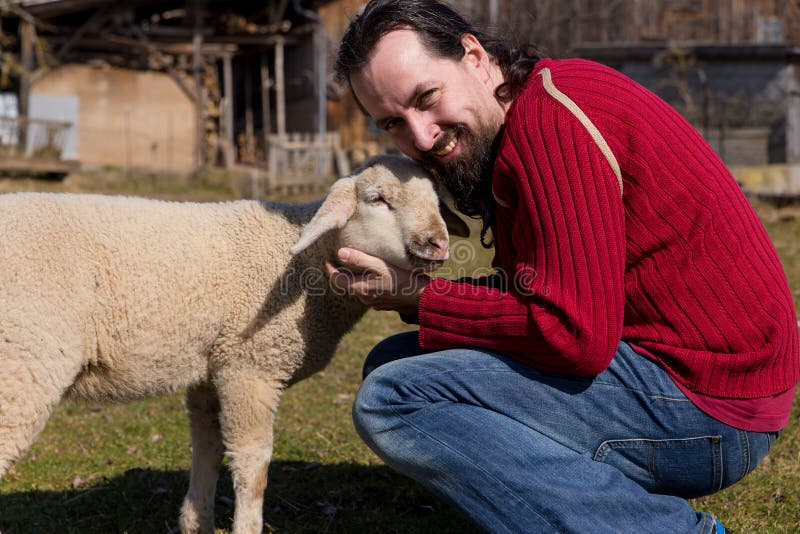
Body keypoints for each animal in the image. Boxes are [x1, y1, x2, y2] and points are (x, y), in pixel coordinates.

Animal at [0, 155, 469, 534]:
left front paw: (197, 522)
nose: (436, 241)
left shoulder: (211, 369)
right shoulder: (250, 367)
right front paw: (246, 525)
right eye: (376, 198)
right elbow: (252, 464)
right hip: (21, 362)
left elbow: (207, 449)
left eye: (436, 199)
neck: (303, 259)